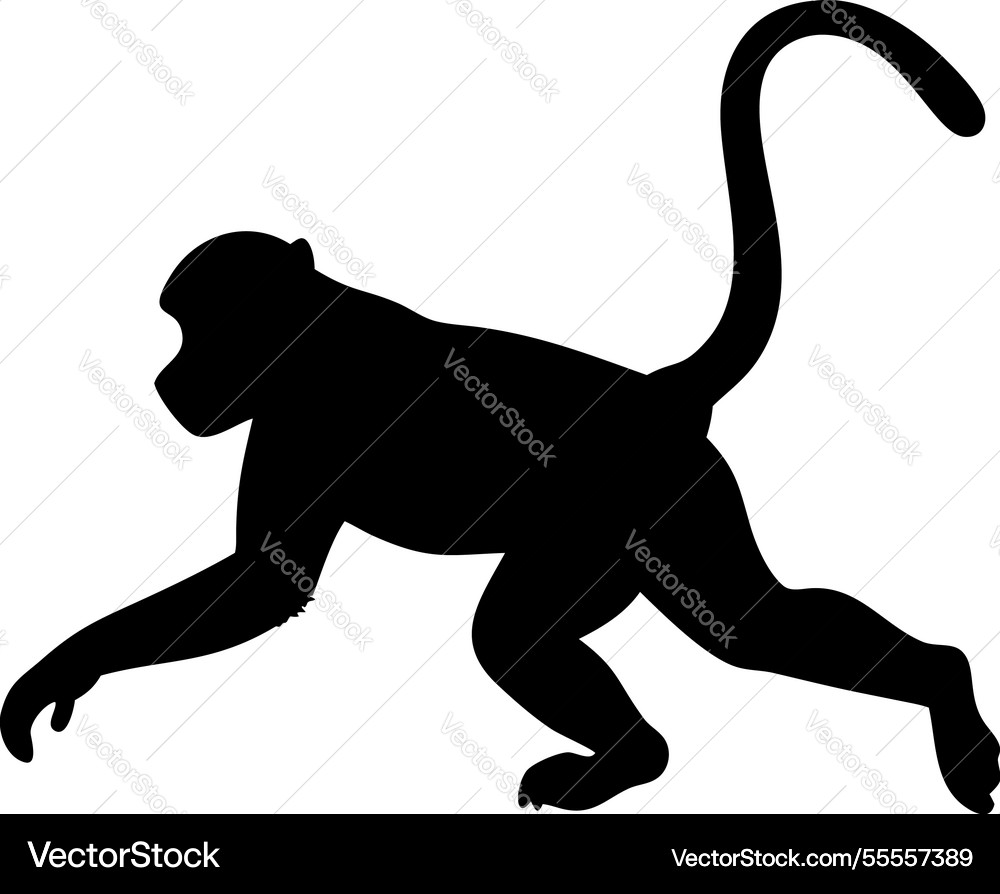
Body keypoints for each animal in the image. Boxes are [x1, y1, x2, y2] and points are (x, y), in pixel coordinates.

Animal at [3, 1, 999, 813]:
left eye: (197, 331)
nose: (168, 383)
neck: (315, 338)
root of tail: (656, 389)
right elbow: (264, 581)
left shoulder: (309, 416)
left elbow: (263, 585)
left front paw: (63, 667)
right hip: (669, 518)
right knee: (746, 623)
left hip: (619, 509)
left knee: (535, 632)